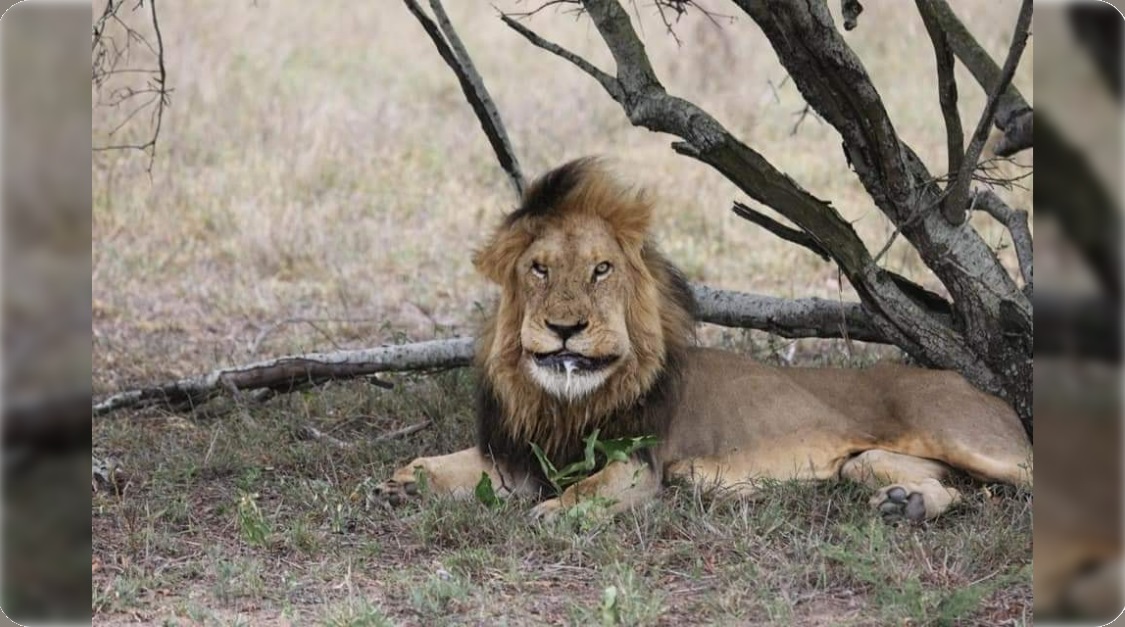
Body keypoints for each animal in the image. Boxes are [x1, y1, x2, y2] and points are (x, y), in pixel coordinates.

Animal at [376, 157, 1033, 522]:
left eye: (601, 270)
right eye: (539, 269)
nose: (565, 327)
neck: (564, 402)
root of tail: (966, 378)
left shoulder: (638, 465)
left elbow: (589, 489)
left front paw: (552, 512)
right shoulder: (520, 453)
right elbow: (449, 463)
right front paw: (401, 482)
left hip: (968, 438)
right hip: (866, 461)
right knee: (952, 491)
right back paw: (908, 505)